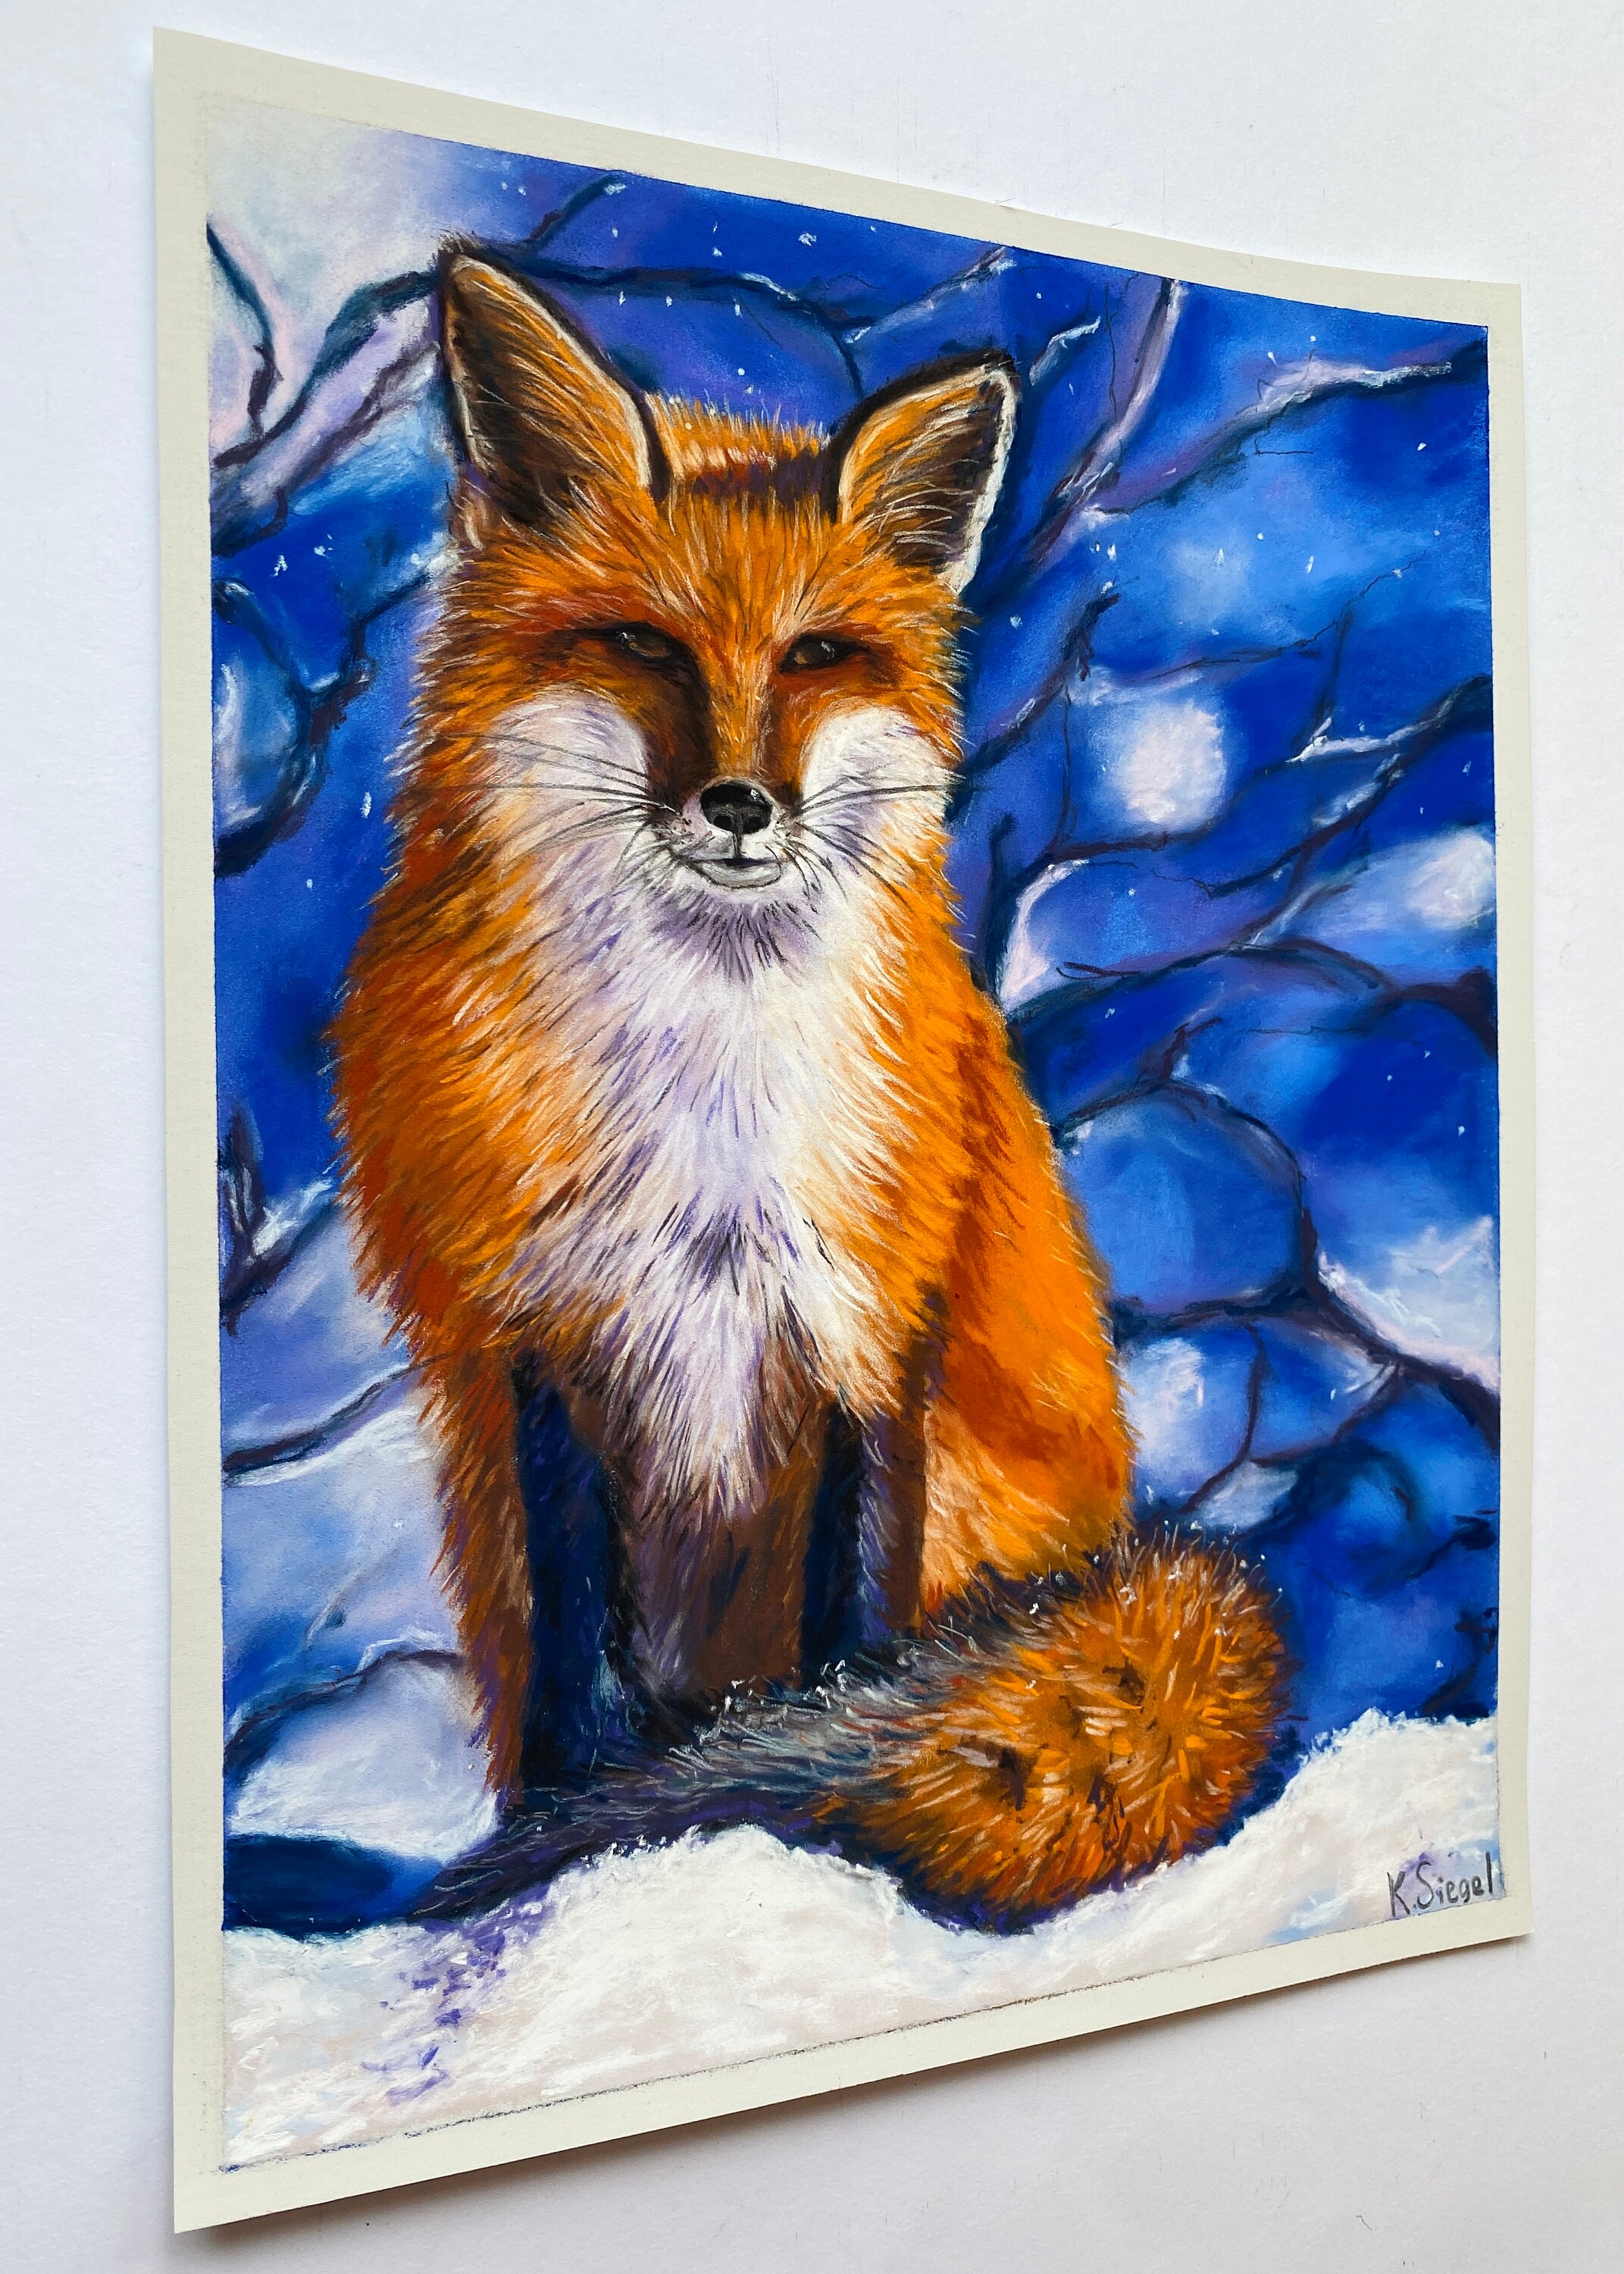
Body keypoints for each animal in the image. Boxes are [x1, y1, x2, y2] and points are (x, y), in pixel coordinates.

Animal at [330, 252, 1285, 1930]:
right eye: (644, 645)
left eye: (814, 656)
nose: (739, 803)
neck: (705, 1098)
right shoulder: (536, 1332)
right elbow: (575, 1657)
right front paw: (565, 1833)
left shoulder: (868, 1318)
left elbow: (855, 1639)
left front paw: (808, 1811)